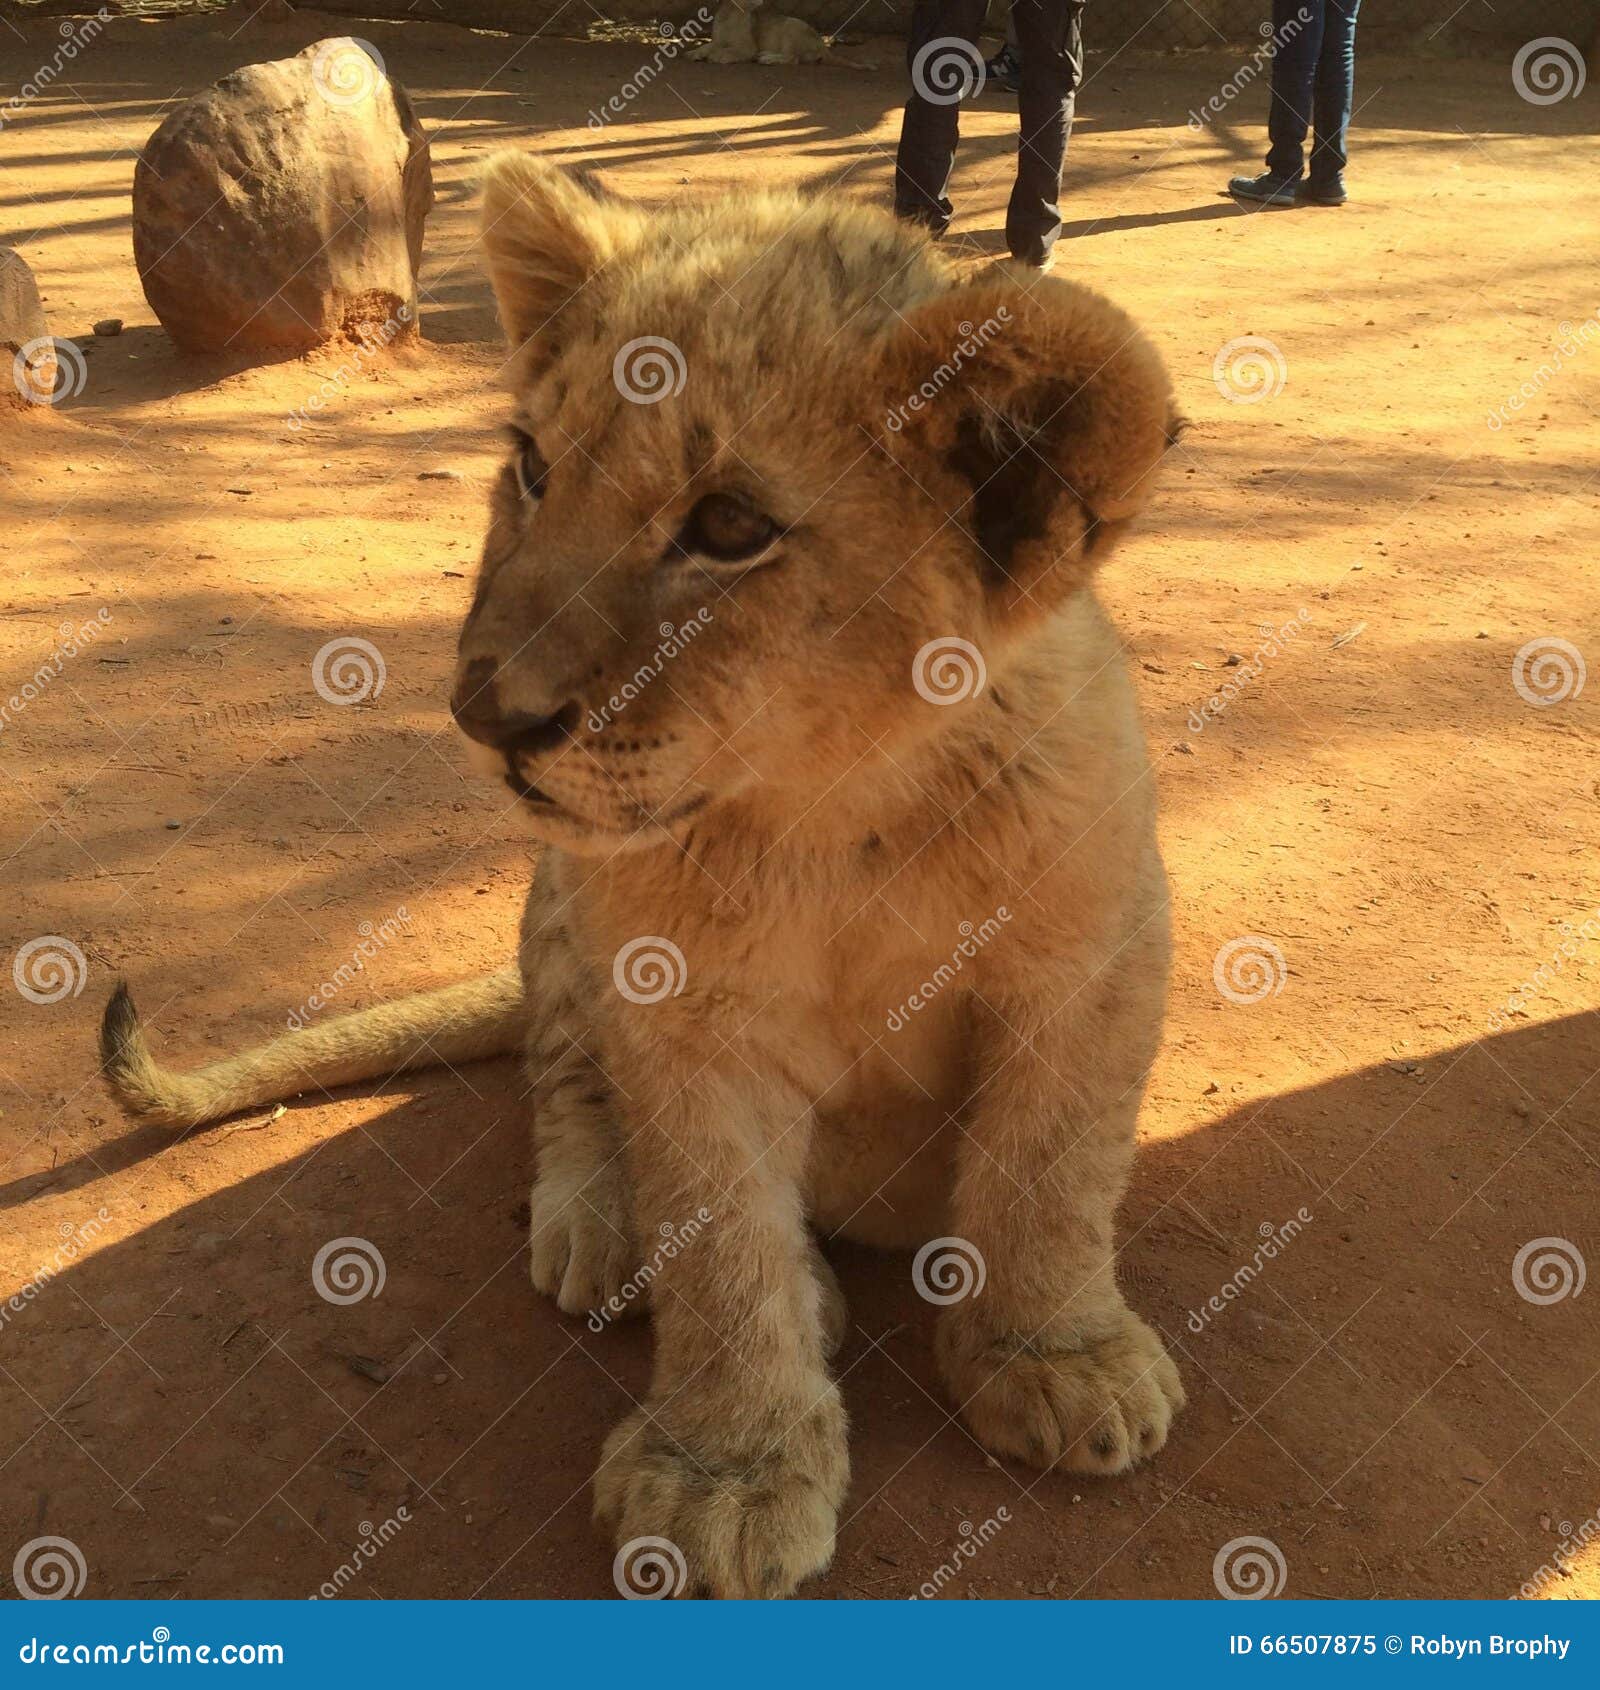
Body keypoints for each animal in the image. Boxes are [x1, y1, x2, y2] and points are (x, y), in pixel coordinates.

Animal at [100, 152, 1186, 1598]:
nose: (483, 713)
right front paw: (724, 1471)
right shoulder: (675, 1003)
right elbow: (718, 1234)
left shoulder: (1095, 955)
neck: (834, 812)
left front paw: (1057, 1355)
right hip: (565, 911)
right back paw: (619, 1236)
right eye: (531, 466)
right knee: (565, 1078)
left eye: (727, 525)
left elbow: (1053, 1168)